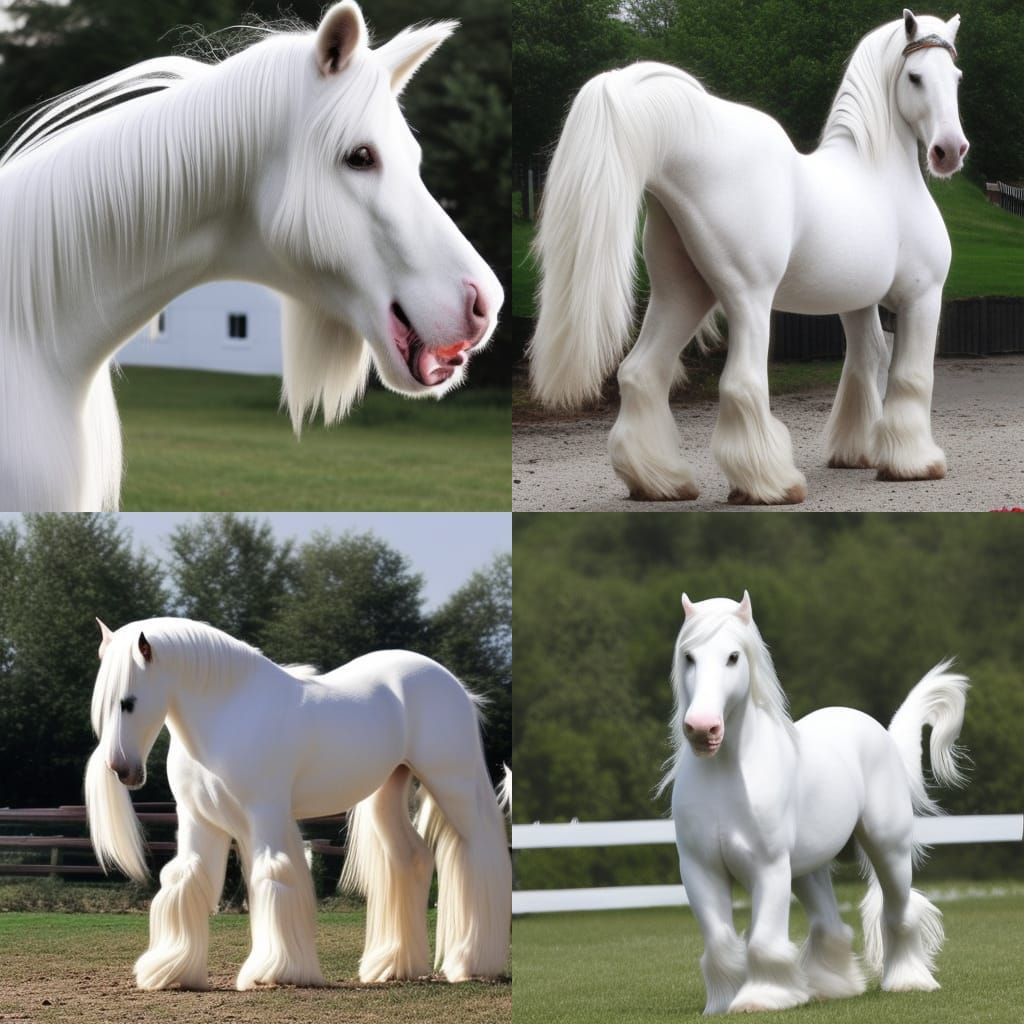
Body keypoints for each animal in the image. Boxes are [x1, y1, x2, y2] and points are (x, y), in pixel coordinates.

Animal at [84, 617, 511, 990]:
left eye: (128, 702)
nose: (121, 769)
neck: (228, 714)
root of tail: (453, 685)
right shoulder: (199, 820)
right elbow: (184, 880)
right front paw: (171, 972)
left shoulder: (265, 815)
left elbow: (273, 876)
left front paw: (273, 972)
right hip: (388, 792)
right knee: (413, 859)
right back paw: (394, 966)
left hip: (453, 784)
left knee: (480, 858)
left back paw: (471, 962)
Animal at [530, 10, 967, 505]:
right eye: (915, 77)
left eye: (955, 77)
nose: (950, 150)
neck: (879, 172)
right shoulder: (923, 296)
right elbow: (911, 375)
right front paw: (916, 462)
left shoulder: (855, 303)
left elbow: (864, 362)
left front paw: (856, 452)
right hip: (749, 298)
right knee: (742, 383)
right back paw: (771, 484)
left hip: (682, 294)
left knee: (640, 373)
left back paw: (662, 481)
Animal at [664, 592, 968, 1014]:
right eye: (688, 656)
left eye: (733, 657)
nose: (702, 729)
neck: (726, 776)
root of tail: (883, 734)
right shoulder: (700, 869)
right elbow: (720, 942)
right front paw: (723, 1004)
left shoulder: (769, 867)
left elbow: (763, 940)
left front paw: (760, 998)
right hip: (808, 868)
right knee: (829, 923)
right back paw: (830, 987)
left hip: (888, 848)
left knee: (899, 913)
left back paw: (908, 981)